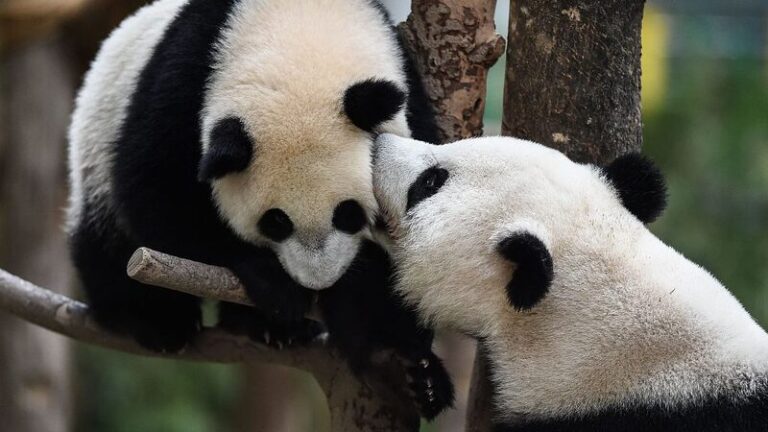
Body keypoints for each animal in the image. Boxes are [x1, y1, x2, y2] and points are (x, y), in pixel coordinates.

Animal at [67, 0, 453, 418]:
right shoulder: (186, 80)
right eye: (276, 222)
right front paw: (275, 284)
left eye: (348, 213)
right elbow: (153, 190)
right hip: (97, 144)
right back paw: (158, 320)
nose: (318, 280)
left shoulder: (406, 92)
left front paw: (387, 338)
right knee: (109, 242)